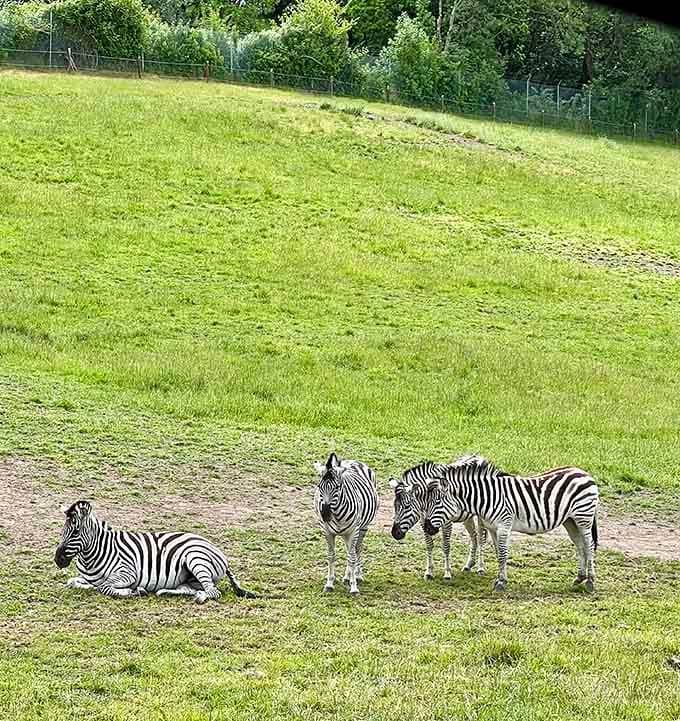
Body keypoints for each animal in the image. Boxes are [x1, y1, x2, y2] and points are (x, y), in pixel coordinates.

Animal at [54, 500, 256, 603]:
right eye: (62, 531)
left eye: (76, 532)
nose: (58, 560)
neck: (95, 553)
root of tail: (218, 551)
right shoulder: (89, 579)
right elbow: (74, 582)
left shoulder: (128, 572)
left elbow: (104, 587)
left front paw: (133, 592)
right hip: (189, 578)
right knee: (192, 589)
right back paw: (166, 592)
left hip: (195, 559)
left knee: (213, 592)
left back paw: (199, 598)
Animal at [313, 452, 379, 596]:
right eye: (319, 487)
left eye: (337, 487)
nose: (325, 514)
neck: (337, 514)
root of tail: (353, 461)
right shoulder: (327, 531)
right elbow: (331, 556)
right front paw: (329, 583)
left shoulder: (354, 531)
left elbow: (352, 556)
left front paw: (354, 588)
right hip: (345, 533)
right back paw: (347, 577)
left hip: (362, 528)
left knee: (356, 549)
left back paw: (357, 576)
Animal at [422, 455, 599, 593]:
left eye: (436, 502)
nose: (426, 527)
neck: (487, 496)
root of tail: (584, 473)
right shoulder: (493, 528)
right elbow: (498, 553)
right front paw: (500, 579)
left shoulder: (504, 526)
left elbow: (502, 554)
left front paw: (501, 583)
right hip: (570, 521)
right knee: (580, 545)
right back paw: (579, 577)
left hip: (583, 518)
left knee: (589, 546)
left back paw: (590, 582)